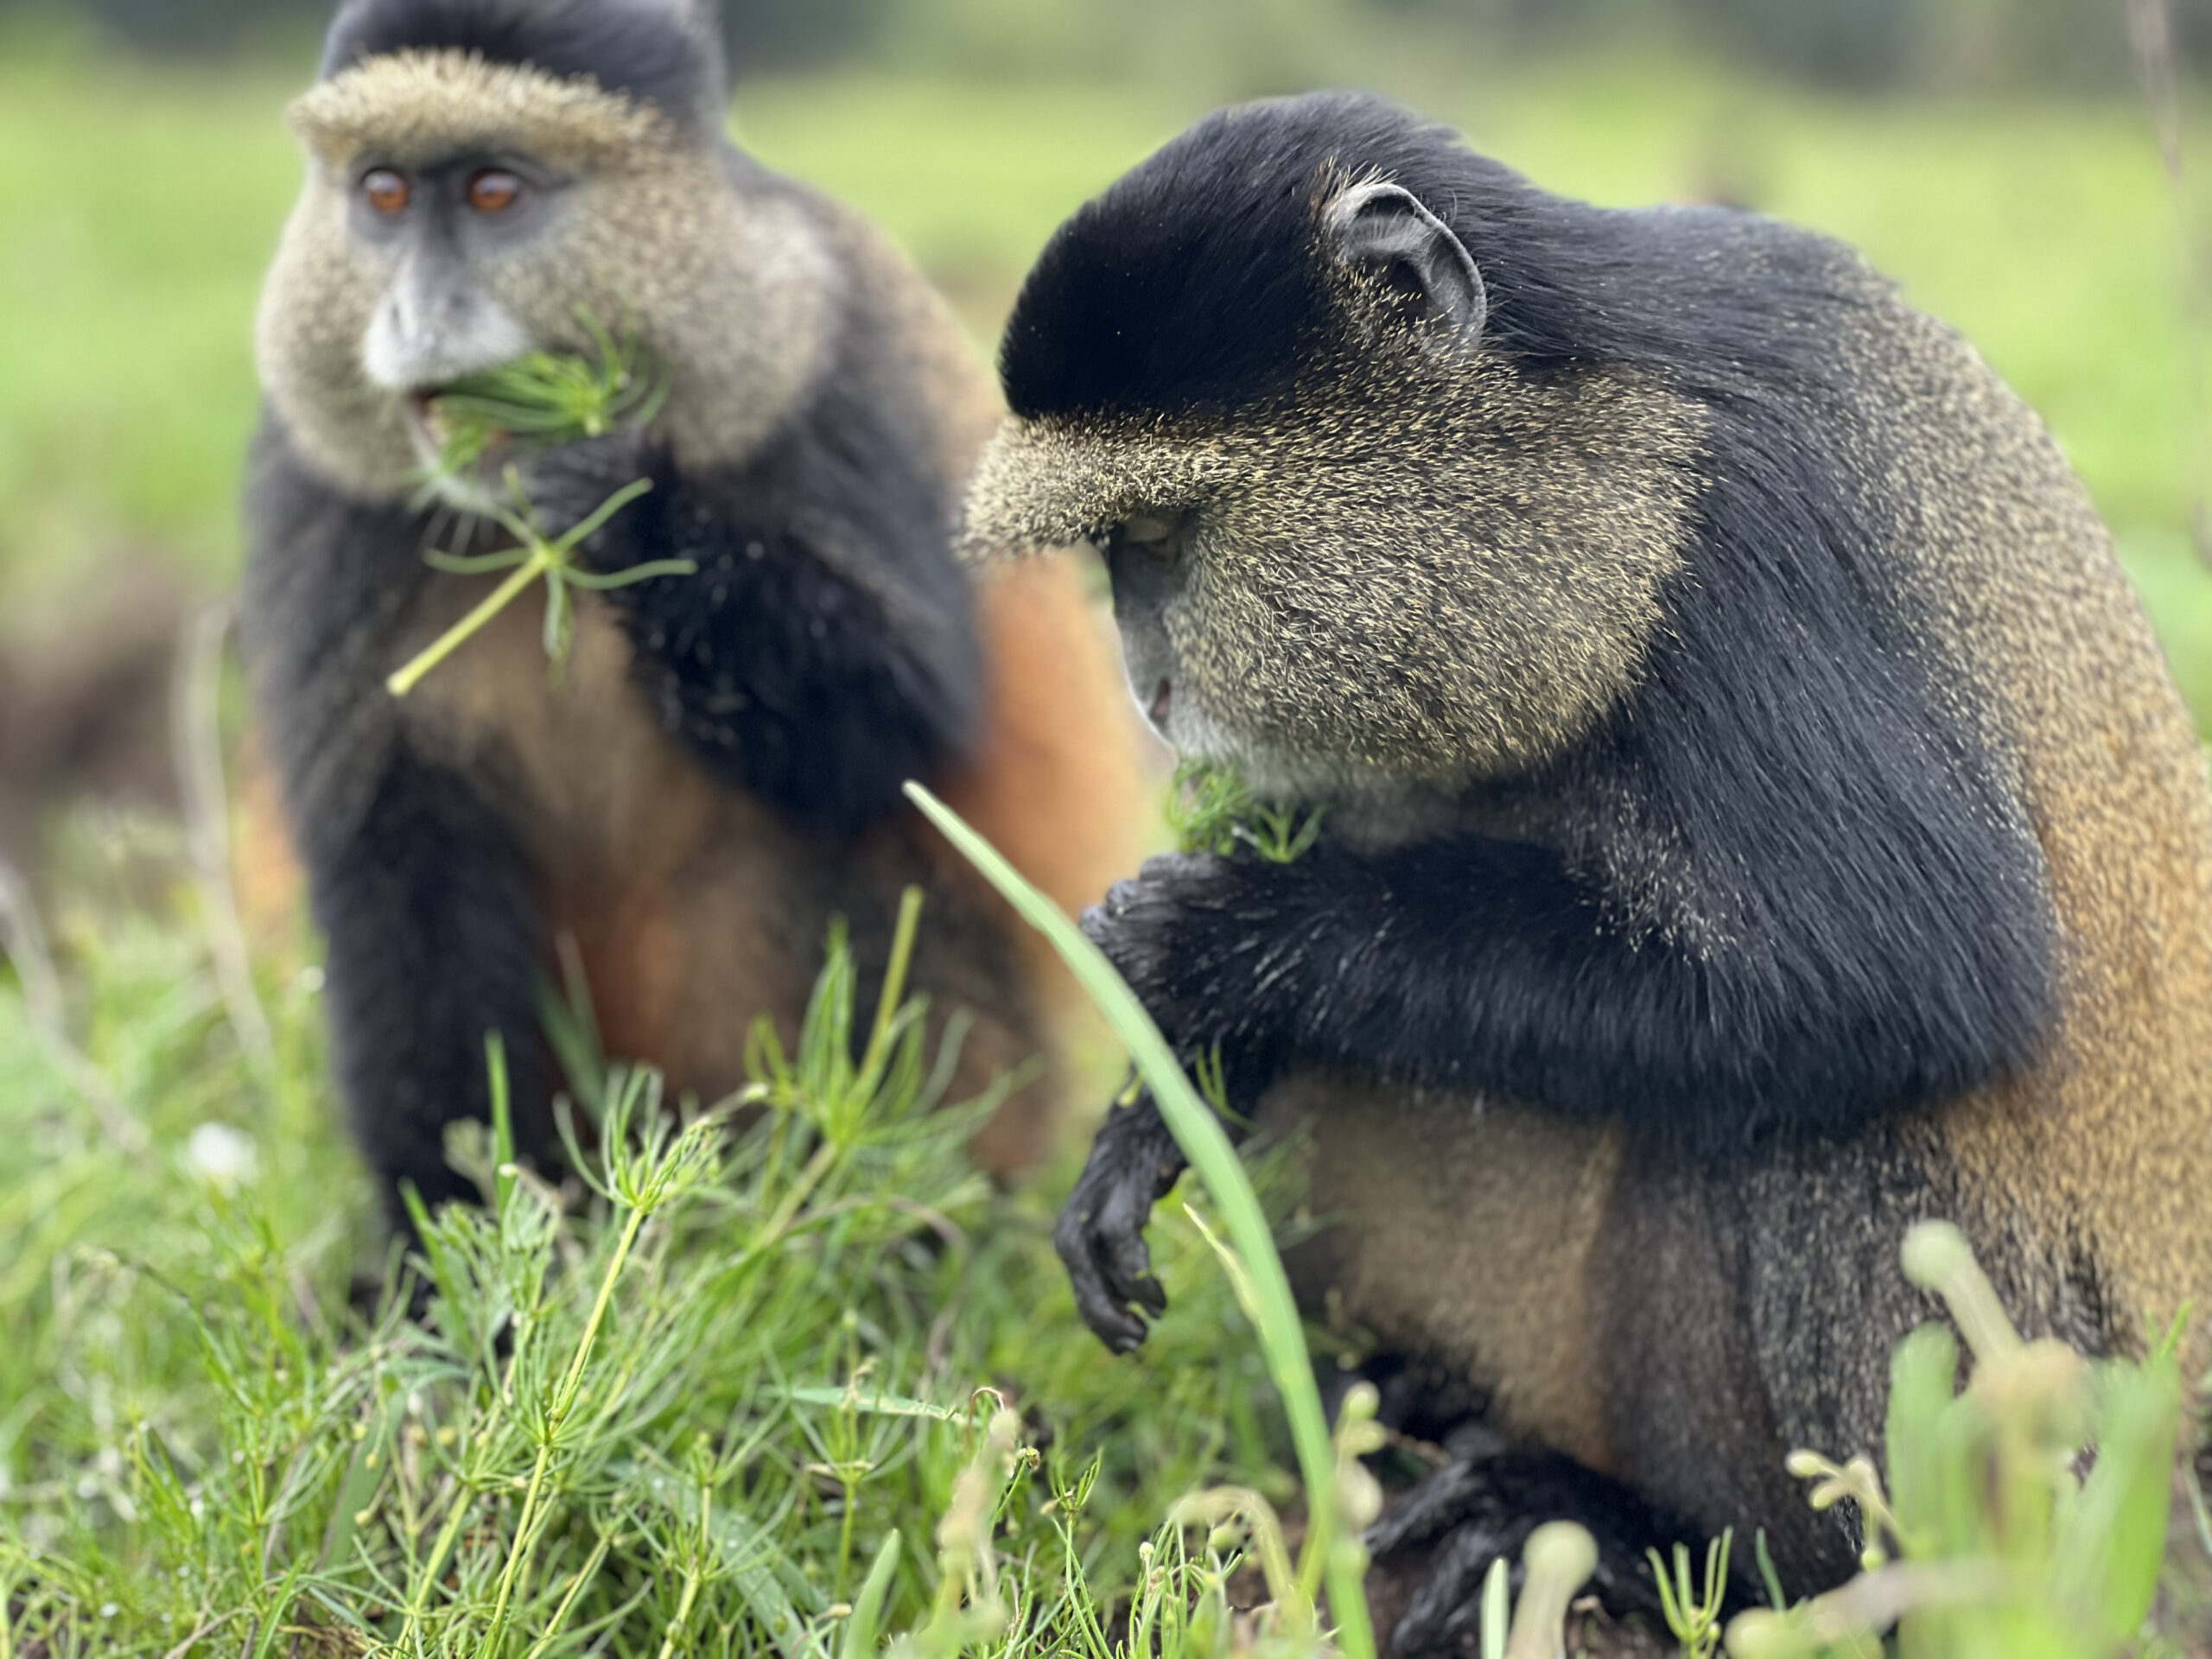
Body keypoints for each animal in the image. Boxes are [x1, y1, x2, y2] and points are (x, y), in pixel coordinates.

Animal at [242, 0, 1147, 1233]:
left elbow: (897, 735)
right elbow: (394, 852)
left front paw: (622, 493)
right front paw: (441, 1254)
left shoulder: (824, 371)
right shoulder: (317, 490)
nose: (415, 315)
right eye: (381, 194)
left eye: (493, 193)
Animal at [957, 90, 2212, 1634]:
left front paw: (1208, 952)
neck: (1590, 407)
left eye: (1157, 535)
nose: (1145, 686)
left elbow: (1909, 977)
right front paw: (1161, 1102)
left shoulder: (1751, 538)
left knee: (1855, 1132)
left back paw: (1664, 1544)